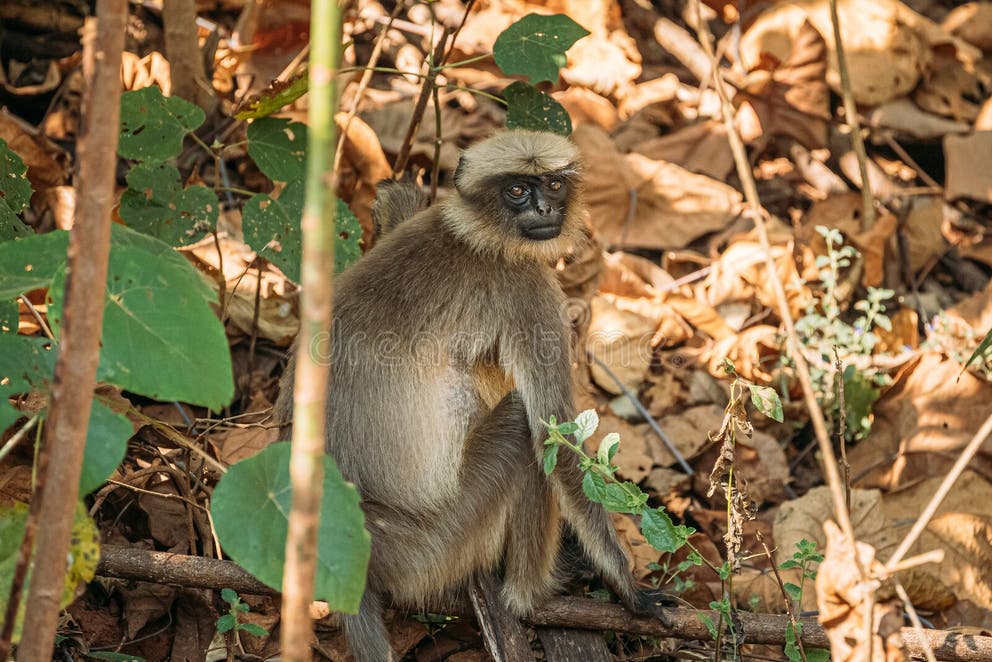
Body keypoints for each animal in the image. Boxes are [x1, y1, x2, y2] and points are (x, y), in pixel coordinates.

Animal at [274, 130, 667, 660]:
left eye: (554, 184)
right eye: (518, 190)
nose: (544, 208)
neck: (476, 234)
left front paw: (396, 197)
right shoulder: (527, 290)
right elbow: (555, 442)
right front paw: (628, 587)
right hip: (439, 541)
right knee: (523, 428)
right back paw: (534, 595)